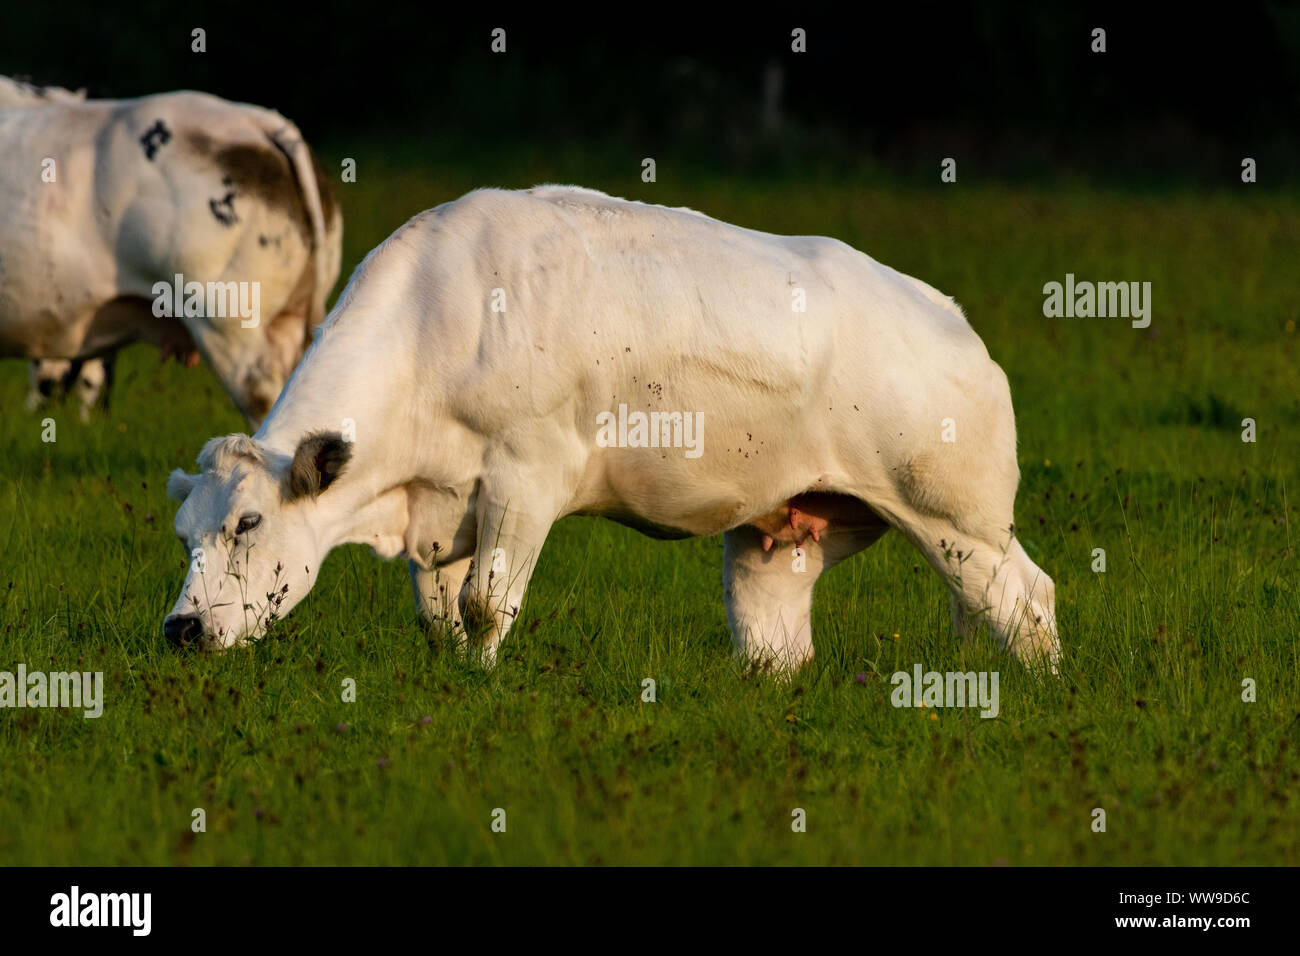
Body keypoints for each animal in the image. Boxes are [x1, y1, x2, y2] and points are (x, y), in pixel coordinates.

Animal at [163, 185, 1060, 674]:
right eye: (184, 535)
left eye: (249, 523)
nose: (182, 628)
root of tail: (950, 316)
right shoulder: (444, 506)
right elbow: (440, 613)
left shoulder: (527, 477)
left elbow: (487, 605)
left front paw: (481, 684)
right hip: (777, 541)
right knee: (777, 646)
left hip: (958, 521)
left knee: (1026, 600)